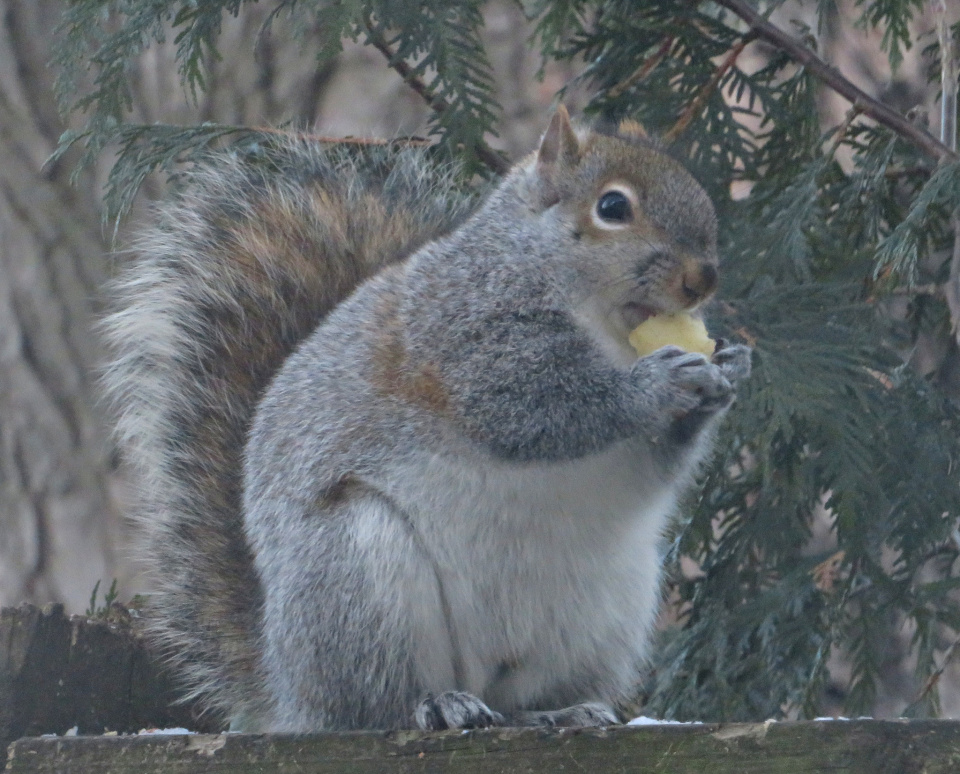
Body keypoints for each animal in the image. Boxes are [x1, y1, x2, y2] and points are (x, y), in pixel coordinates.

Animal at [103, 106, 751, 732]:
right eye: (613, 207)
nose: (703, 279)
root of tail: (289, 687)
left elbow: (657, 466)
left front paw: (727, 373)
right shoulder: (463, 338)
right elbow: (538, 408)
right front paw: (657, 385)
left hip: (610, 609)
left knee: (519, 699)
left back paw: (557, 710)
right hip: (358, 580)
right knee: (374, 705)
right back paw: (435, 707)